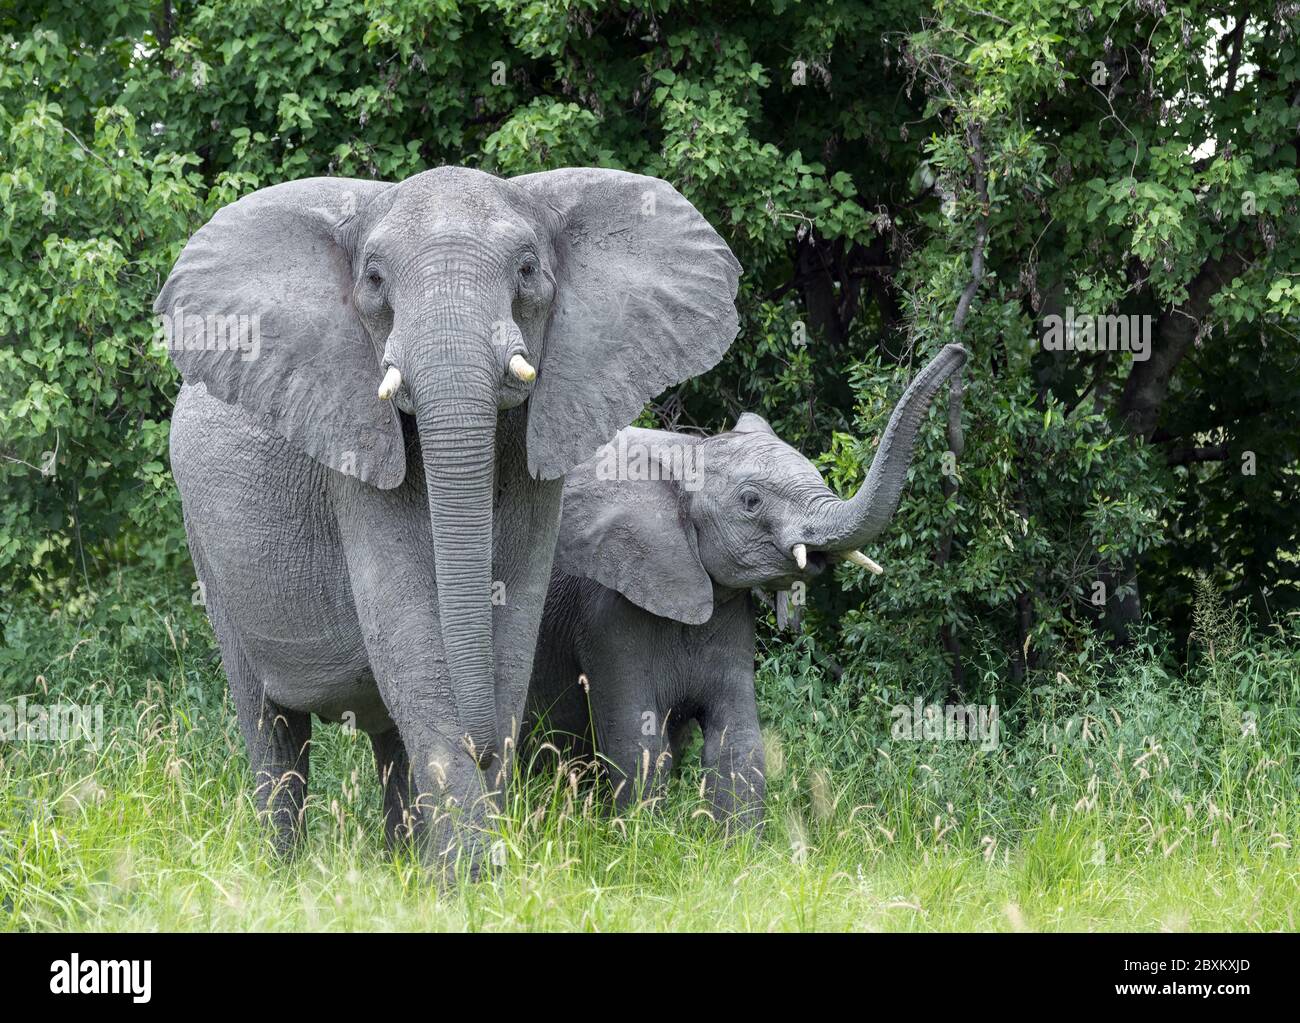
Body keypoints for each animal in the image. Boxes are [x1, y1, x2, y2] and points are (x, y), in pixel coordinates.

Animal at [158, 166, 741, 872]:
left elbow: (510, 627)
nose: (482, 744)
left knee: (384, 740)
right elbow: (412, 634)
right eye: (374, 280)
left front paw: (472, 868)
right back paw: (285, 872)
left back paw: (401, 866)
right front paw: (474, 875)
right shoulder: (354, 442)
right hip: (208, 550)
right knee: (272, 732)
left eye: (527, 269)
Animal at [521, 343, 967, 833]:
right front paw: (641, 838)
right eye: (751, 501)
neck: (689, 452)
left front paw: (737, 844)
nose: (958, 351)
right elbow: (637, 746)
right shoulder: (606, 616)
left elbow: (737, 740)